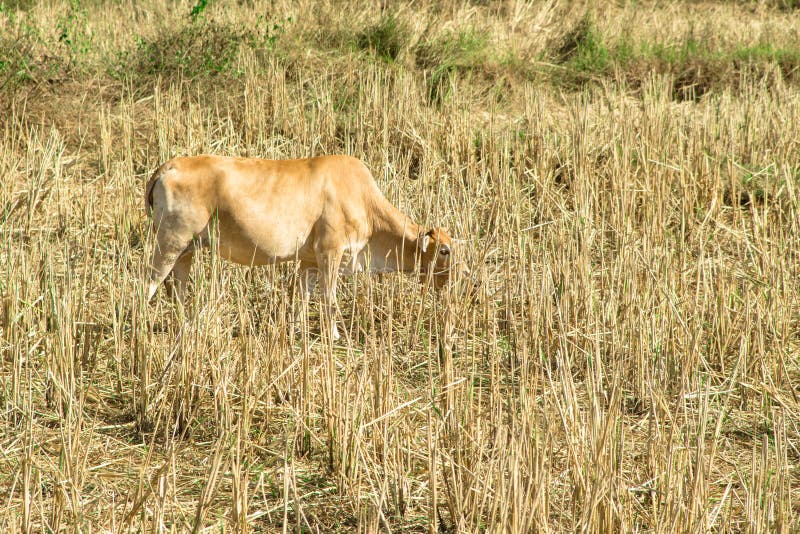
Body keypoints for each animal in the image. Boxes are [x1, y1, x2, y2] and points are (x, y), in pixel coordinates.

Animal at [144, 154, 459, 340]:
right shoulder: (330, 252)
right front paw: (334, 335)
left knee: (178, 287)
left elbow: (304, 297)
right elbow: (329, 299)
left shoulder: (309, 261)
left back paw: (186, 326)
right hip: (171, 242)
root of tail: (168, 166)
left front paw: (294, 329)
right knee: (148, 283)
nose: (466, 279)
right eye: (445, 250)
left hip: (187, 249)